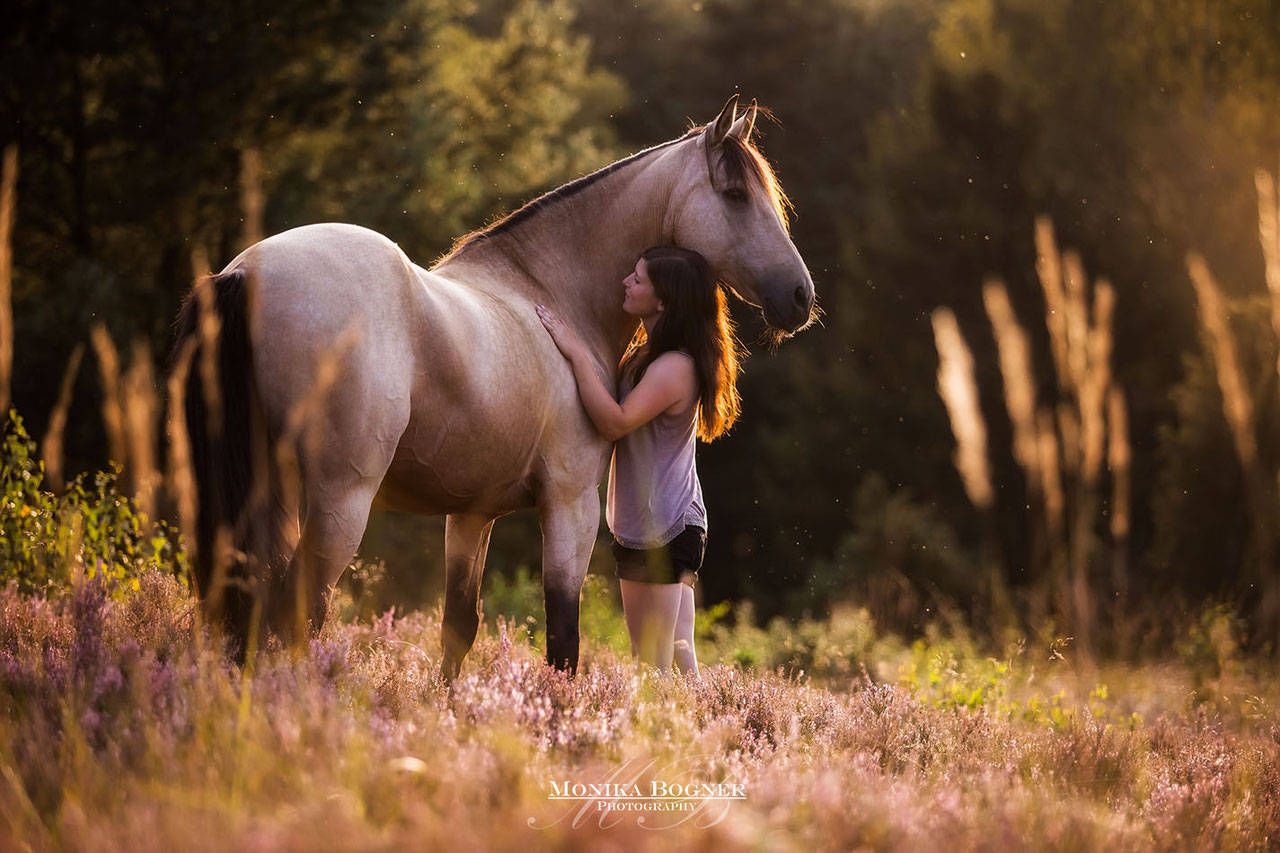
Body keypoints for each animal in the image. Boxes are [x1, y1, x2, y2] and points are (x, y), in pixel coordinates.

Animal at [173, 95, 815, 678]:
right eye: (736, 195)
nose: (800, 296)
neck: (547, 289)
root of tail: (245, 273)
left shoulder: (472, 514)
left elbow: (459, 626)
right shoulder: (569, 507)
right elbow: (563, 643)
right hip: (340, 500)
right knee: (292, 613)